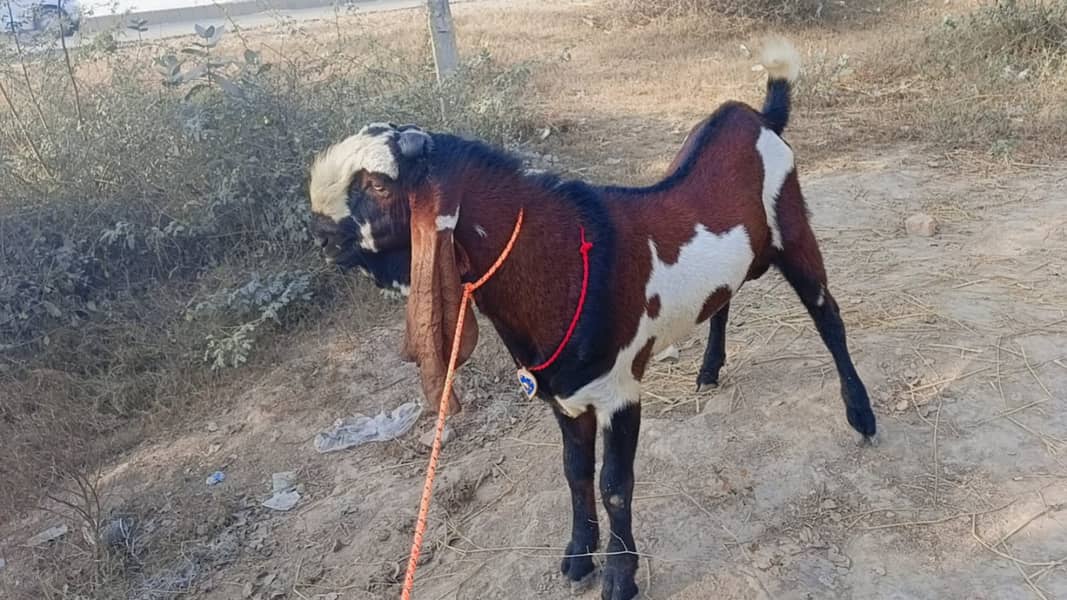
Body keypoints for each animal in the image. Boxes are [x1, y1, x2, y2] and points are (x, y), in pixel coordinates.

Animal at [307, 39, 877, 600]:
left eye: (379, 187)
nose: (319, 233)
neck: (564, 262)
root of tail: (757, 116)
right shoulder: (564, 396)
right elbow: (575, 472)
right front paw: (579, 555)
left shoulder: (619, 391)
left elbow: (614, 486)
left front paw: (620, 577)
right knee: (723, 300)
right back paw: (710, 369)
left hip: (795, 229)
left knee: (829, 316)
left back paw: (861, 416)